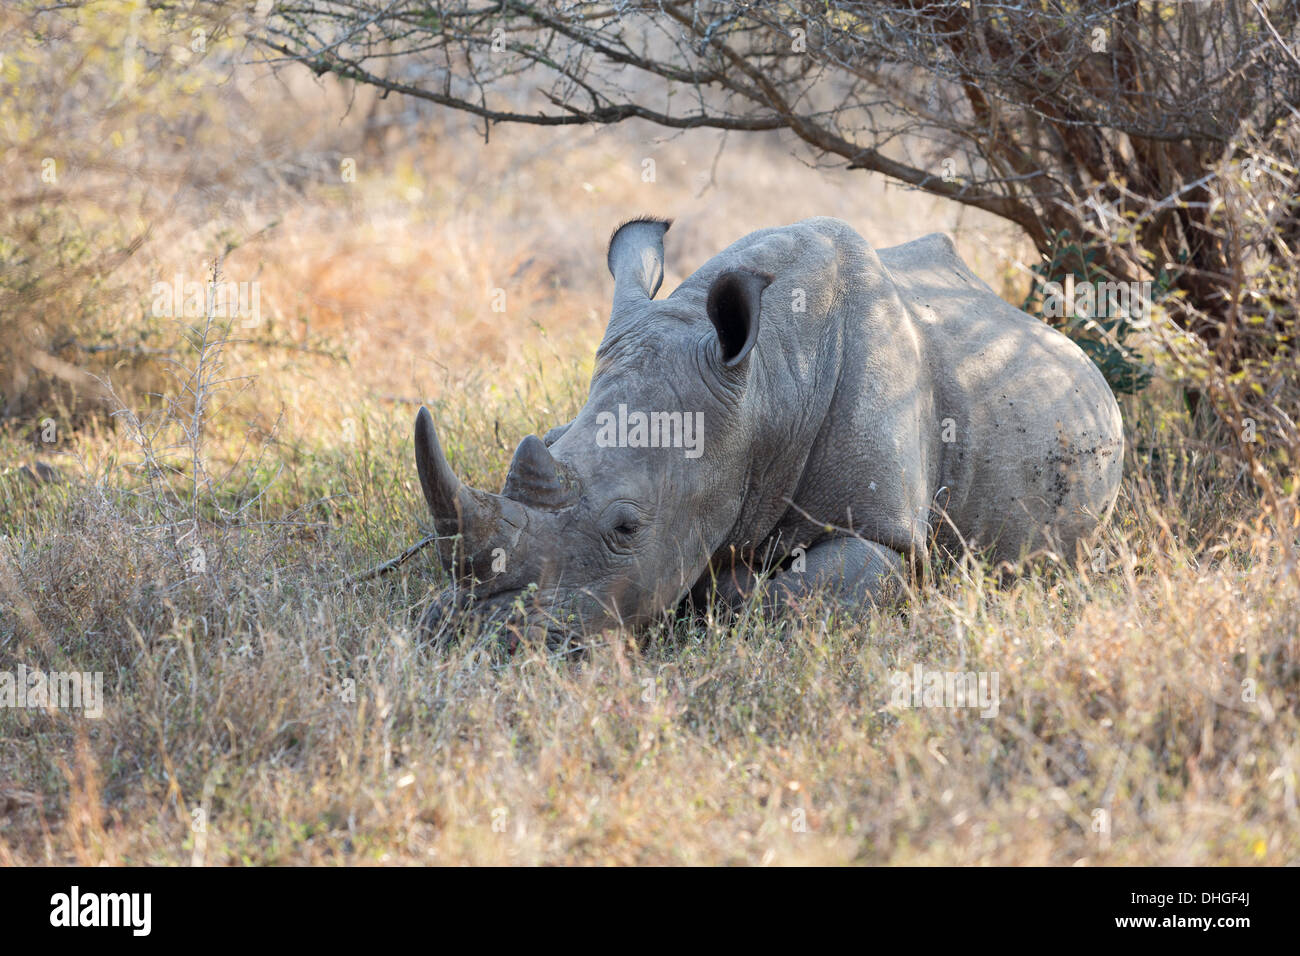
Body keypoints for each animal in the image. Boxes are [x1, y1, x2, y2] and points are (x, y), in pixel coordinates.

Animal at [413, 217, 1123, 646]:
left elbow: (789, 598)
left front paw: (727, 590)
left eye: (627, 527)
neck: (765, 389)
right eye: (550, 434)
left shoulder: (885, 535)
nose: (481, 630)